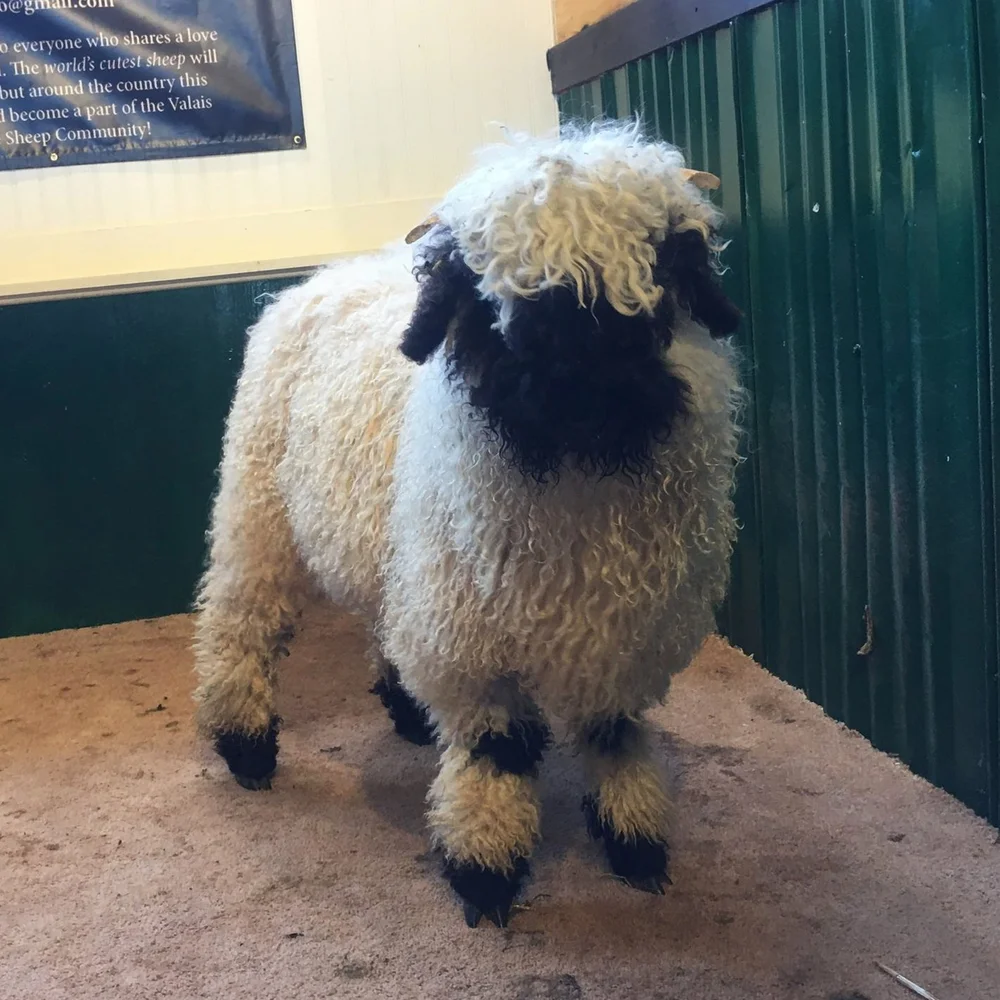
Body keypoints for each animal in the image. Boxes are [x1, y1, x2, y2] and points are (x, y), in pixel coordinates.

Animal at [192, 121, 744, 929]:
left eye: (657, 274)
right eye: (488, 298)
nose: (575, 389)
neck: (571, 477)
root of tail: (325, 275)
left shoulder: (629, 630)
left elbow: (614, 734)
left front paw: (635, 842)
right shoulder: (473, 639)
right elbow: (496, 752)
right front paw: (485, 869)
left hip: (399, 555)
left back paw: (404, 710)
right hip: (259, 506)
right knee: (241, 620)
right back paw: (245, 746)